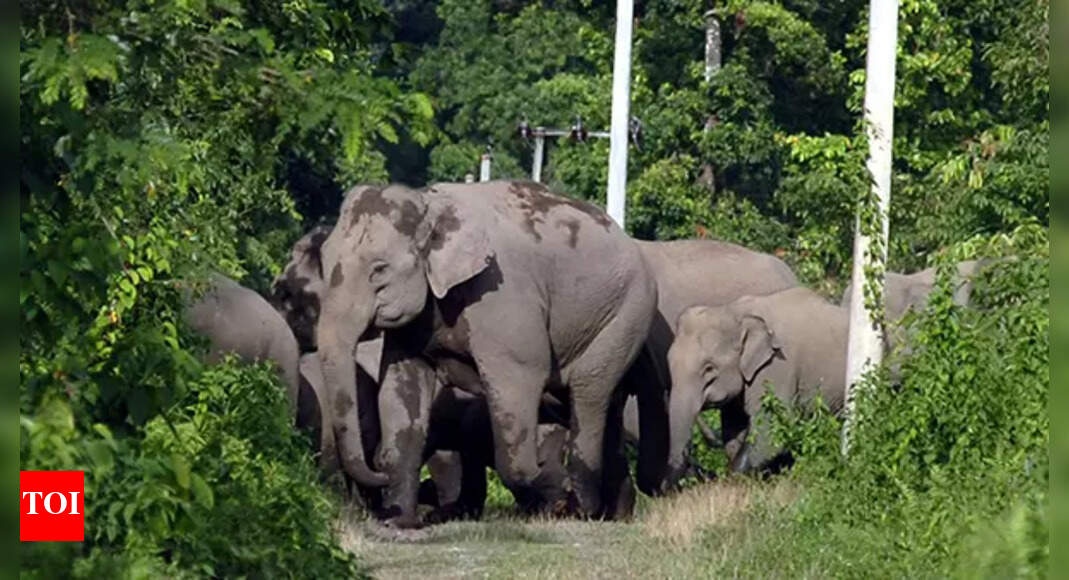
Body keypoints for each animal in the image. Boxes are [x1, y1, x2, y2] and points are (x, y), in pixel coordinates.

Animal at [315, 180, 663, 526]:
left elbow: (520, 380)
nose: (376, 468)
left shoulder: (500, 295)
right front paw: (398, 522)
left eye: (379, 270)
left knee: (588, 395)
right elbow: (403, 386)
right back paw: (615, 513)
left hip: (623, 316)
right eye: (324, 262)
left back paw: (584, 509)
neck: (429, 202)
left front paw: (558, 497)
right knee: (598, 407)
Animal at [667, 287, 847, 478]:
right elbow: (734, 429)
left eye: (709, 368)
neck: (736, 312)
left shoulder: (777, 366)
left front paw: (733, 477)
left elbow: (770, 429)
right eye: (669, 364)